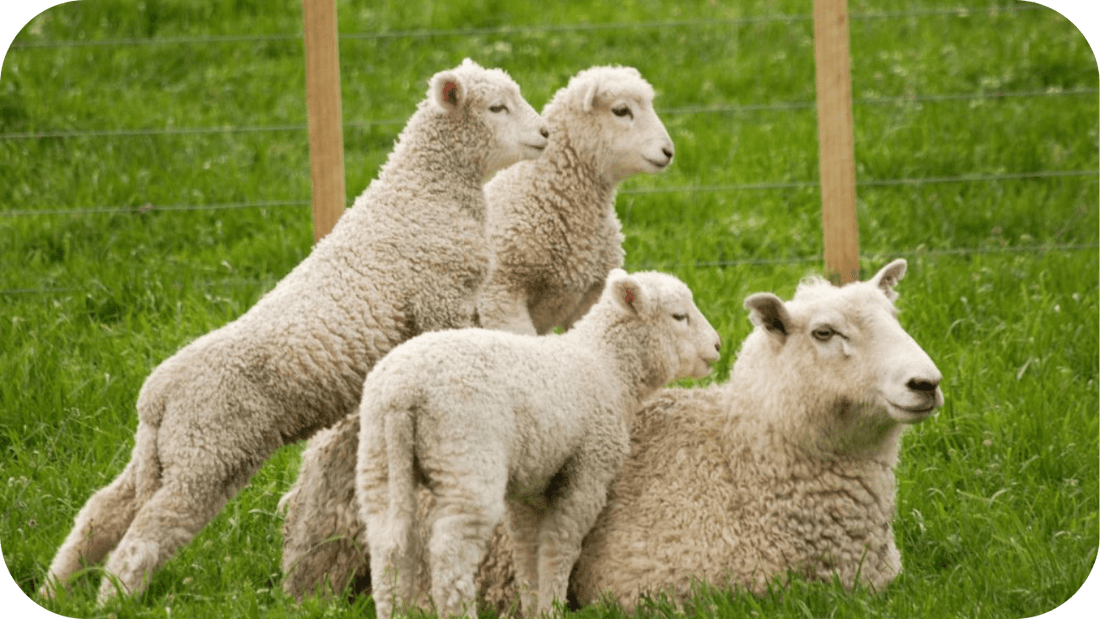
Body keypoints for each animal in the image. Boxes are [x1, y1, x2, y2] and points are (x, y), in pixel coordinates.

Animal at [39, 58, 549, 604]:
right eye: (496, 108)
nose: (544, 133)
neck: (422, 193)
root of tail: (156, 397)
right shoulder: (440, 299)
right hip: (205, 455)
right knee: (145, 533)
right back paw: (115, 600)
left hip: (165, 454)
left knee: (104, 510)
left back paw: (57, 589)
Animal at [357, 269, 722, 619]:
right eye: (679, 316)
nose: (718, 346)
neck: (607, 366)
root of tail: (403, 390)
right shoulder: (589, 467)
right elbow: (558, 545)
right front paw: (552, 607)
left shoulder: (530, 481)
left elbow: (527, 548)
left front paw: (534, 606)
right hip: (466, 456)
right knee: (450, 554)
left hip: (379, 456)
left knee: (388, 546)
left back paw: (393, 609)